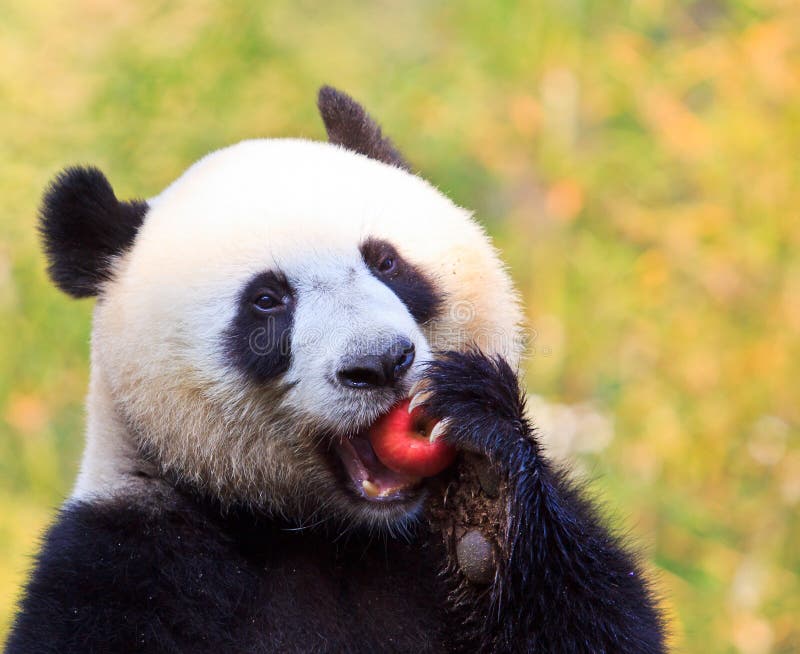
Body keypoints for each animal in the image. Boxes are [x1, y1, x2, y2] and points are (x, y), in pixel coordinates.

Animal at [5, 87, 665, 653]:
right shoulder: (125, 564)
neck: (341, 536)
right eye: (267, 300)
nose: (381, 363)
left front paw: (484, 488)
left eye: (386, 262)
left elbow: (601, 619)